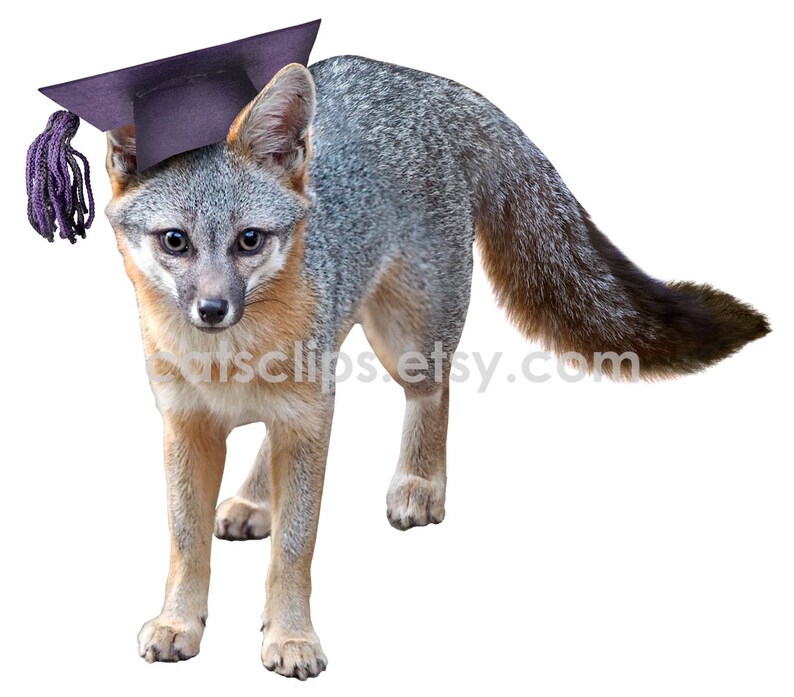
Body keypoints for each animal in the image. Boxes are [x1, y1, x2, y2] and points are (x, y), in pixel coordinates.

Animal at [102, 55, 769, 679]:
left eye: (249, 240)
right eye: (175, 241)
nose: (213, 310)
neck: (227, 363)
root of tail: (426, 81)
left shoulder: (309, 416)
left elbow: (295, 547)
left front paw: (290, 636)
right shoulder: (186, 426)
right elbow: (185, 543)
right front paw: (178, 622)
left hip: (407, 339)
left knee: (435, 390)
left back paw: (420, 483)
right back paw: (254, 499)